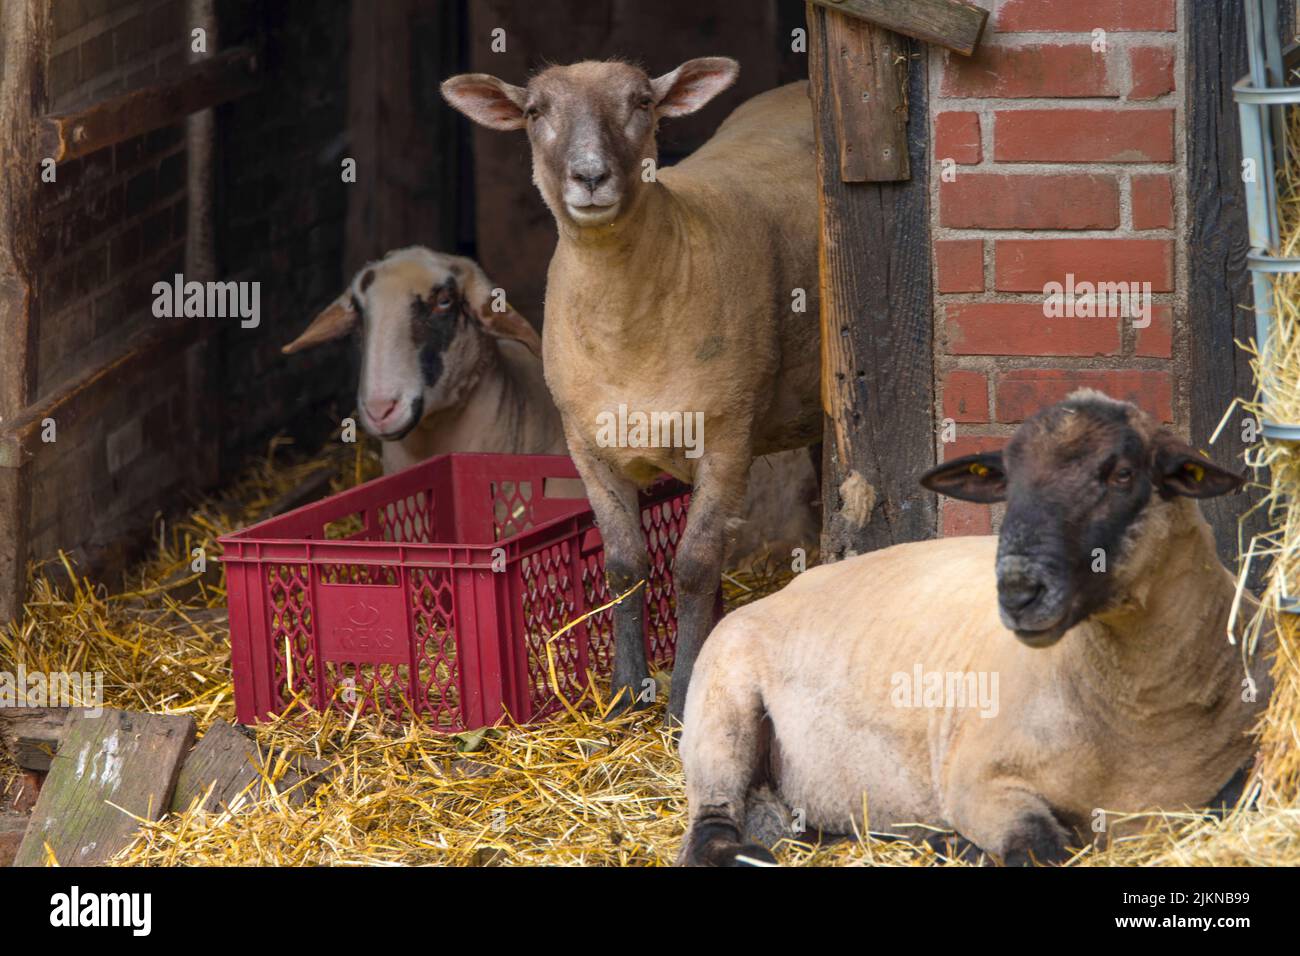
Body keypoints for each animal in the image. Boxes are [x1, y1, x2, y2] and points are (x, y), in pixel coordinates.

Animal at [442, 59, 821, 722]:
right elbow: (624, 566)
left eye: (642, 102)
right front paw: (622, 692)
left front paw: (682, 697)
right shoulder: (587, 447)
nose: (590, 175)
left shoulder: (728, 438)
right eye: (535, 111)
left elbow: (694, 566)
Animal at [677, 391, 1273, 866]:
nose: (1017, 591)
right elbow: (1038, 850)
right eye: (1008, 481)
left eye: (1123, 474)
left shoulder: (1241, 780)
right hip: (719, 709)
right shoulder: (978, 782)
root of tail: (788, 587)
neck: (1136, 717)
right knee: (709, 826)